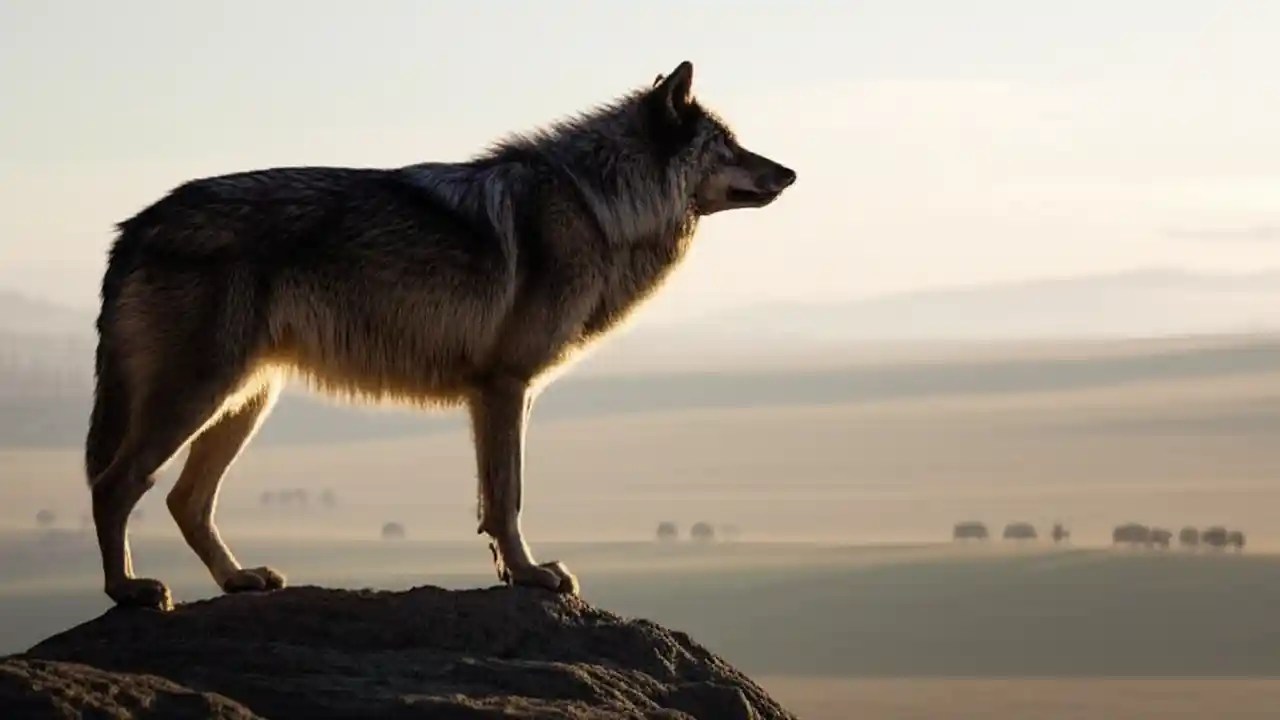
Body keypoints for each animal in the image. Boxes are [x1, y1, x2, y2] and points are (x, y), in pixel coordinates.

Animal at [86, 61, 795, 609]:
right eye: (729, 144)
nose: (789, 173)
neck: (599, 204)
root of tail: (136, 226)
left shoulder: (499, 394)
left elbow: (493, 499)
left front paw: (515, 574)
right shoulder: (506, 386)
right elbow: (508, 497)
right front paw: (532, 575)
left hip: (245, 402)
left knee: (185, 501)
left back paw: (238, 580)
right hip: (201, 395)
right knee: (116, 484)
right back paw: (128, 591)